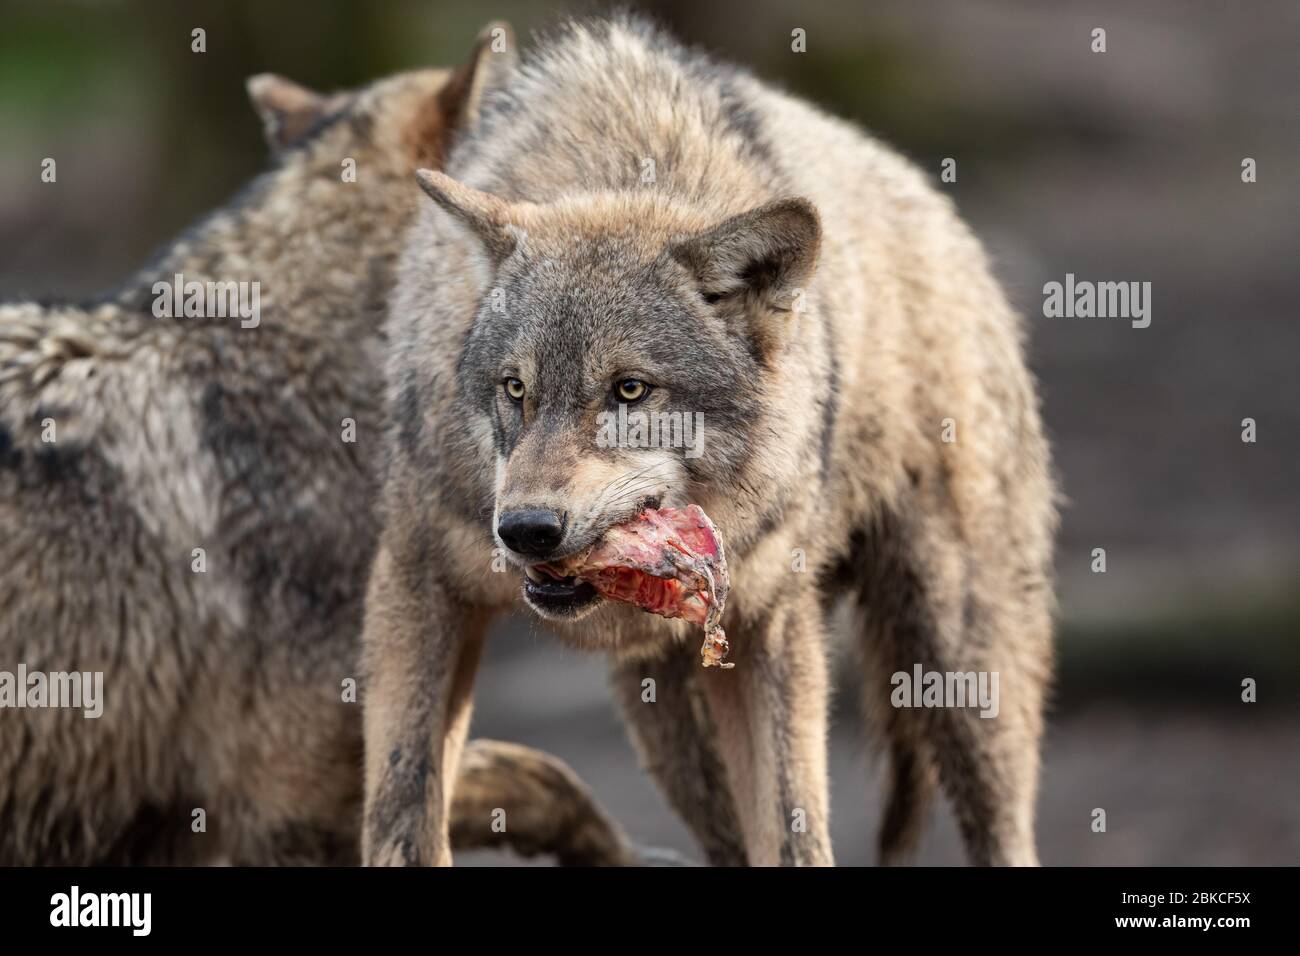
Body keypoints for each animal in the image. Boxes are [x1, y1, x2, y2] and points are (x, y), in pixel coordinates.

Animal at [365, 13, 1057, 867]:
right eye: (515, 389)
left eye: (630, 390)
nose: (525, 530)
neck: (623, 149)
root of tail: (941, 212)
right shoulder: (418, 584)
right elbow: (401, 807)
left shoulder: (773, 625)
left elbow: (797, 831)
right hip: (670, 726)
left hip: (961, 662)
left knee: (1004, 825)